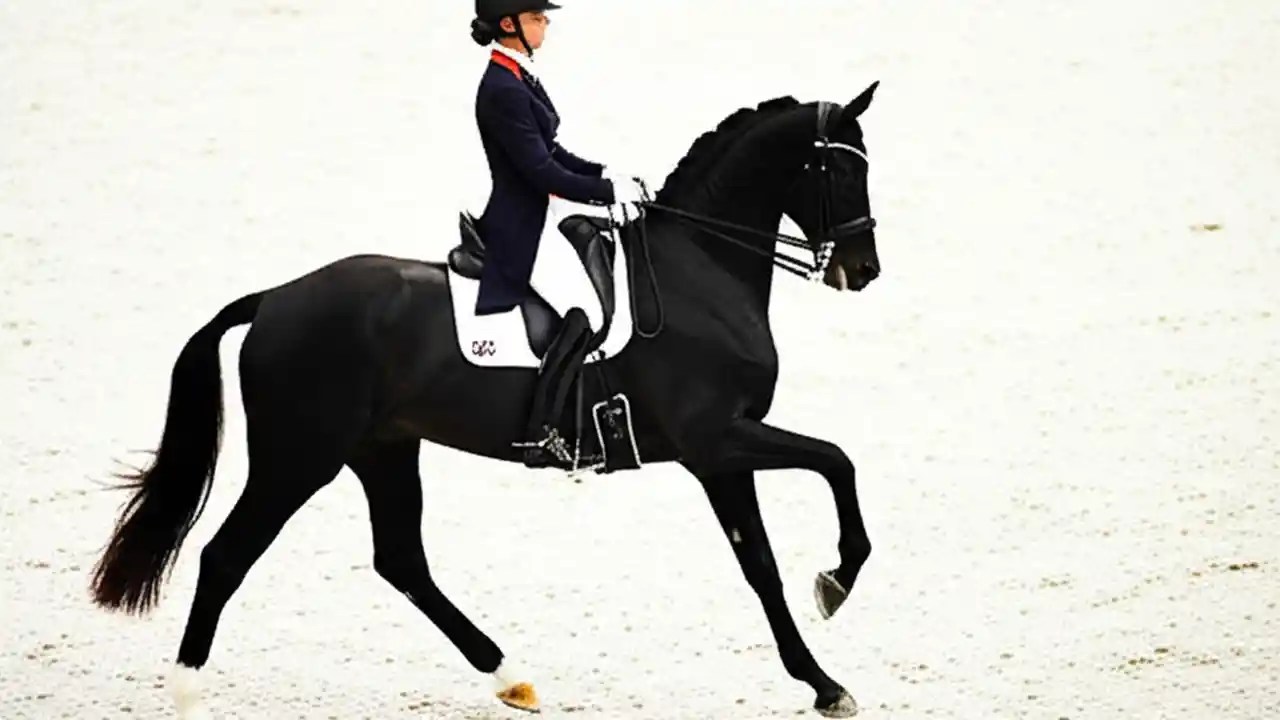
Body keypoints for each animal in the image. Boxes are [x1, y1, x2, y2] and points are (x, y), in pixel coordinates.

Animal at [88, 81, 884, 719]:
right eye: (840, 168)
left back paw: (511, 678)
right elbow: (836, 464)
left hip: (382, 448)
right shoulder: (717, 438)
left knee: (401, 561)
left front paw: (822, 679)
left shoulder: (720, 452)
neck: (700, 272)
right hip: (300, 456)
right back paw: (187, 688)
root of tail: (276, 299)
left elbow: (763, 563)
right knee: (227, 554)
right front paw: (837, 586)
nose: (864, 268)